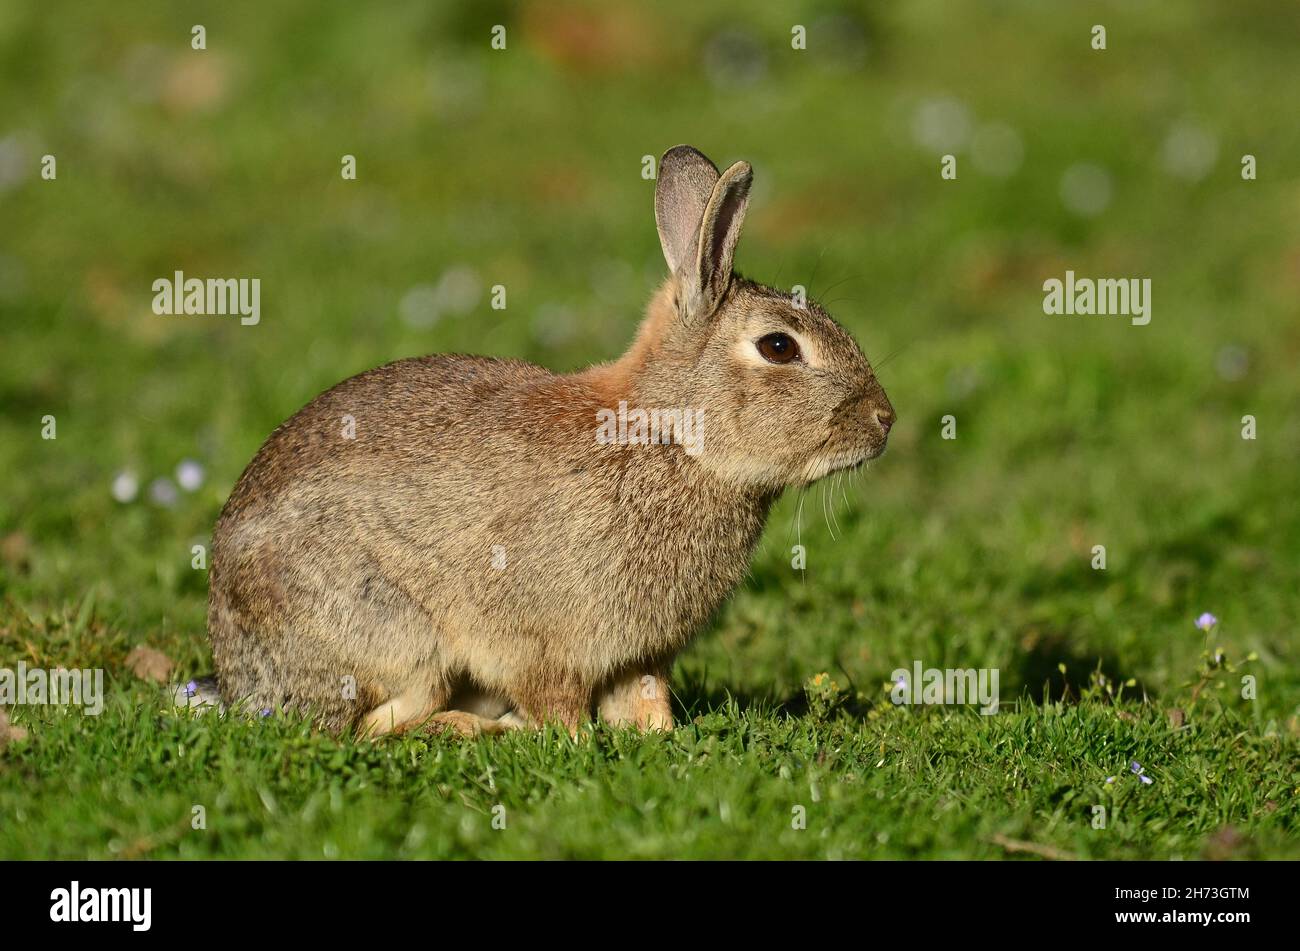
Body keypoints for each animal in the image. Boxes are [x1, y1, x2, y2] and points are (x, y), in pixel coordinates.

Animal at [205, 145, 895, 737]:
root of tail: (237, 668)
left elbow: (643, 699)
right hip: (391, 631)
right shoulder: (539, 642)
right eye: (779, 346)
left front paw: (658, 737)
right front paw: (574, 740)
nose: (885, 420)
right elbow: (555, 709)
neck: (672, 436)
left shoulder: (643, 654)